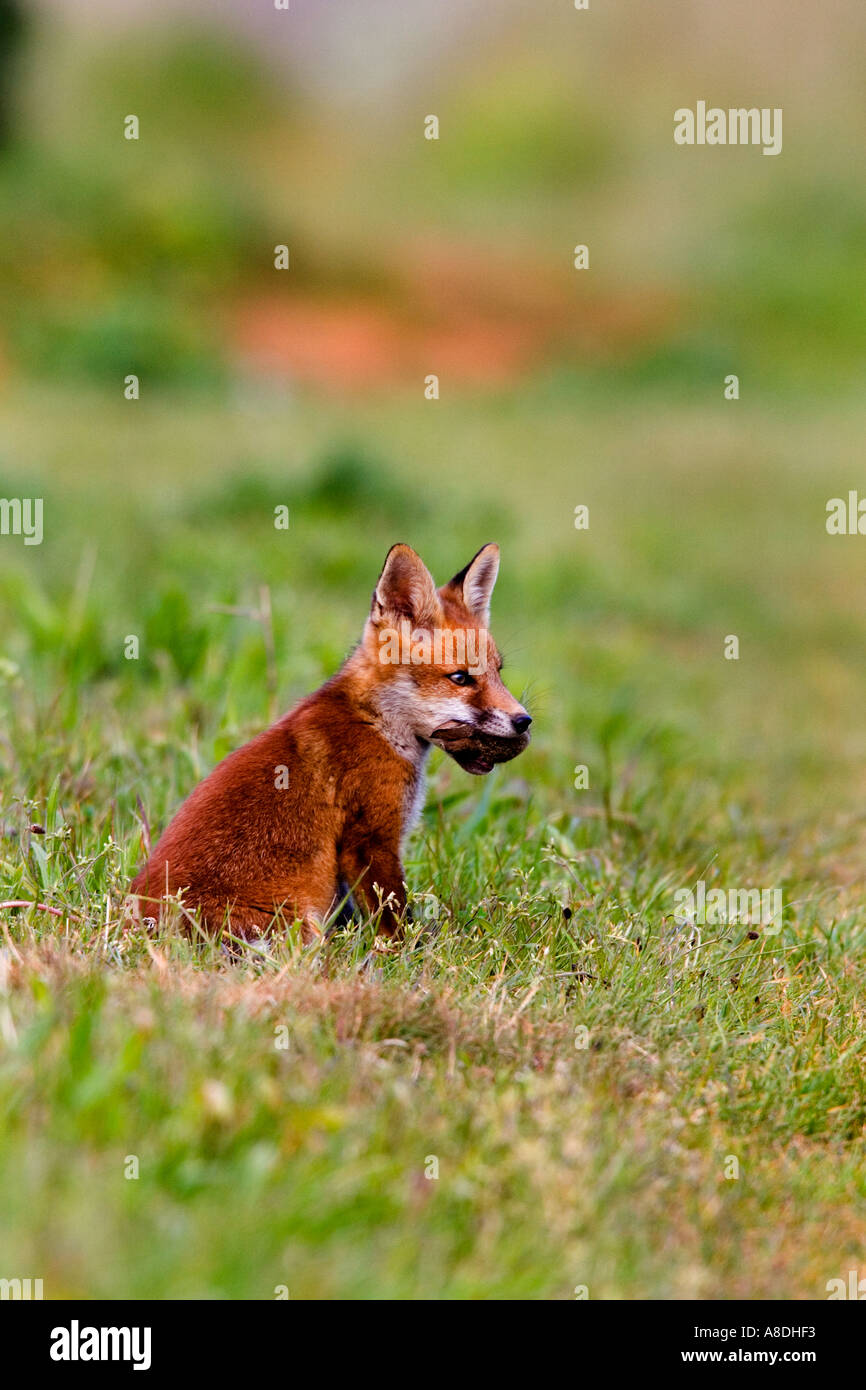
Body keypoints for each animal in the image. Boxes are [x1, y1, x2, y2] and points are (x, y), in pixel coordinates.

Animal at [128, 542, 531, 943]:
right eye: (460, 678)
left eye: (498, 672)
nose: (524, 720)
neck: (375, 721)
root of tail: (138, 924)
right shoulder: (369, 841)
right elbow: (394, 920)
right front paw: (408, 953)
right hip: (299, 923)